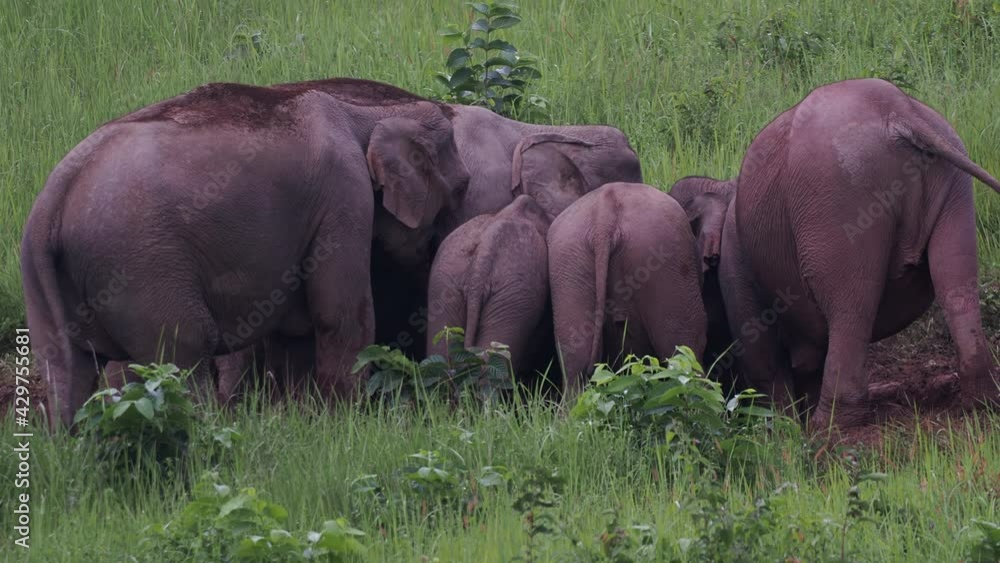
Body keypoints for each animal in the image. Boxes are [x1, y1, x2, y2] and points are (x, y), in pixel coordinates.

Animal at [21, 78, 470, 428]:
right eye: (464, 185)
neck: (365, 112)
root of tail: (53, 201)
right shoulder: (344, 195)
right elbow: (338, 315)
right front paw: (350, 422)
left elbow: (297, 329)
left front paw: (307, 421)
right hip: (140, 268)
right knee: (184, 351)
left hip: (44, 279)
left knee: (67, 370)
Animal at [672, 78, 1000, 430]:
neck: (721, 186)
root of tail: (900, 112)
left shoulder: (736, 260)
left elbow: (758, 345)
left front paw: (782, 428)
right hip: (953, 183)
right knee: (955, 277)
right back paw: (981, 403)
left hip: (840, 196)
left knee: (850, 304)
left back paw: (829, 428)